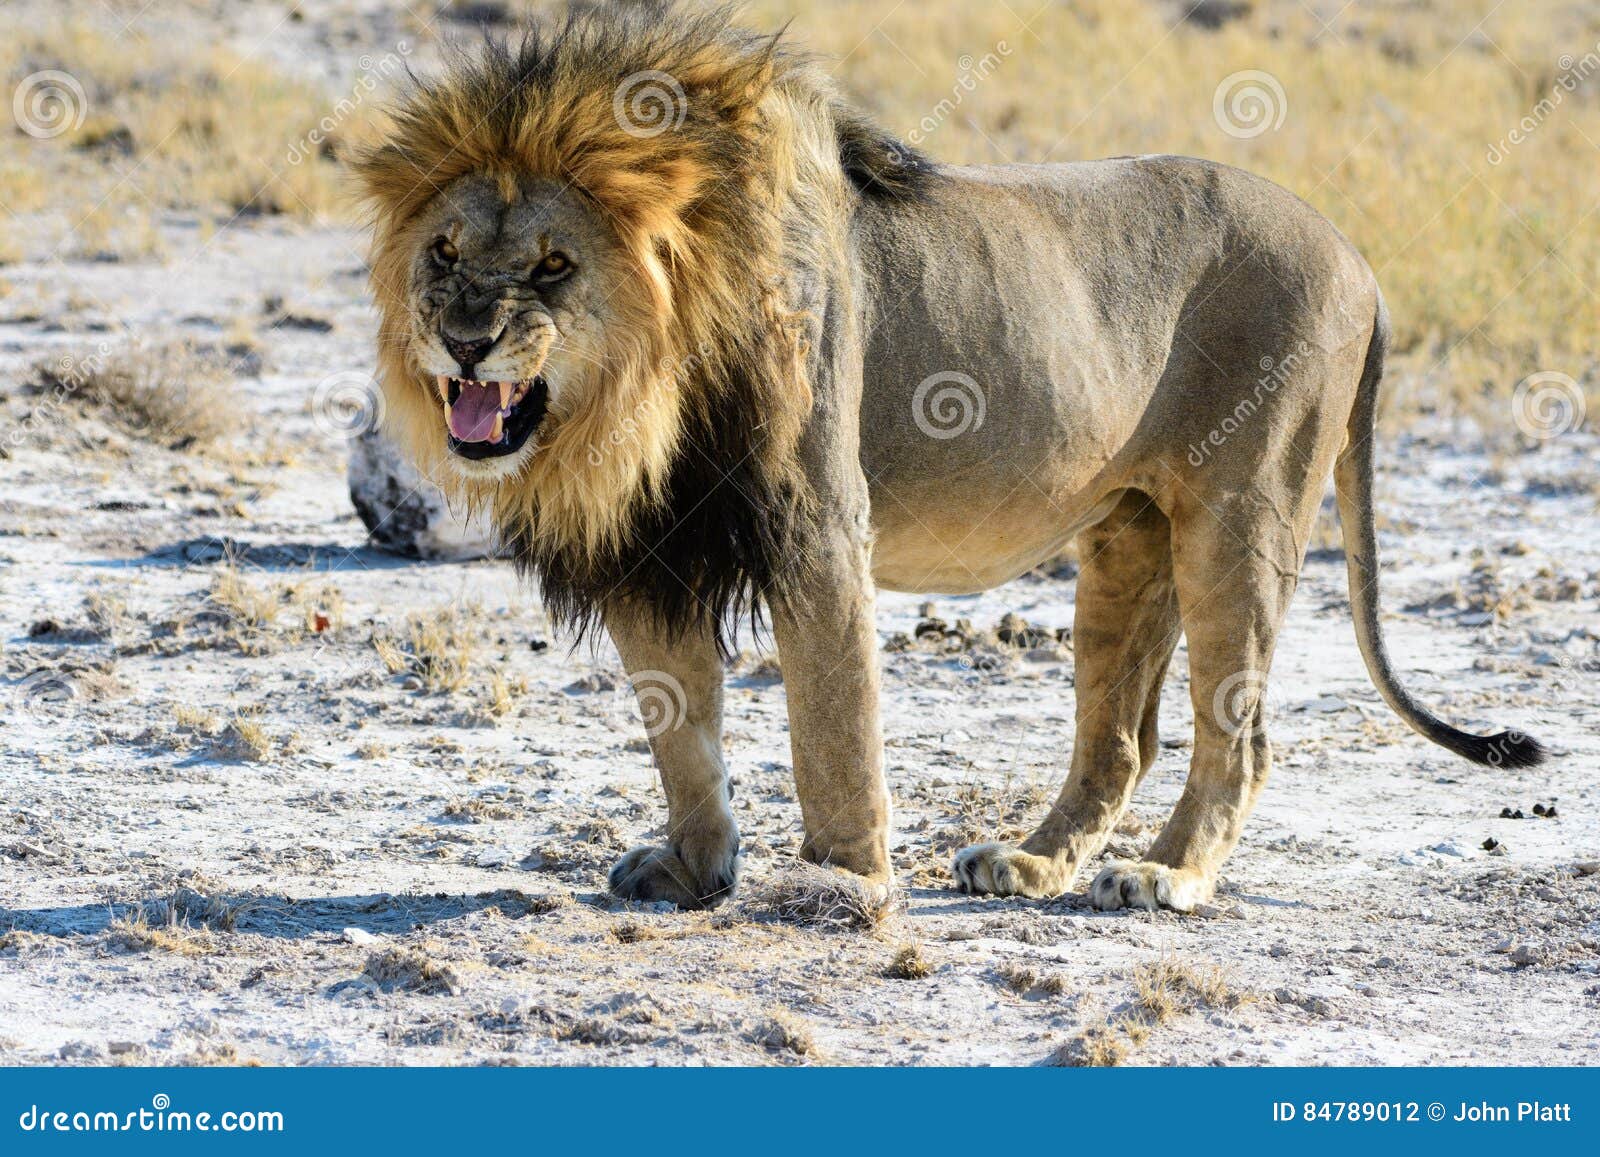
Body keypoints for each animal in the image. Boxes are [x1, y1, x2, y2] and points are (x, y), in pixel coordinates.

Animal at [354, 2, 1544, 913]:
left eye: (554, 265)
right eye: (443, 252)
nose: (463, 338)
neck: (638, 398)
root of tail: (1357, 256)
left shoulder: (817, 525)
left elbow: (831, 720)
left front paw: (840, 879)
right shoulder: (656, 546)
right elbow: (680, 728)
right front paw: (694, 869)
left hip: (1242, 516)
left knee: (1237, 734)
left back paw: (1166, 878)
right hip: (1132, 534)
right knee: (1122, 739)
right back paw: (1030, 864)